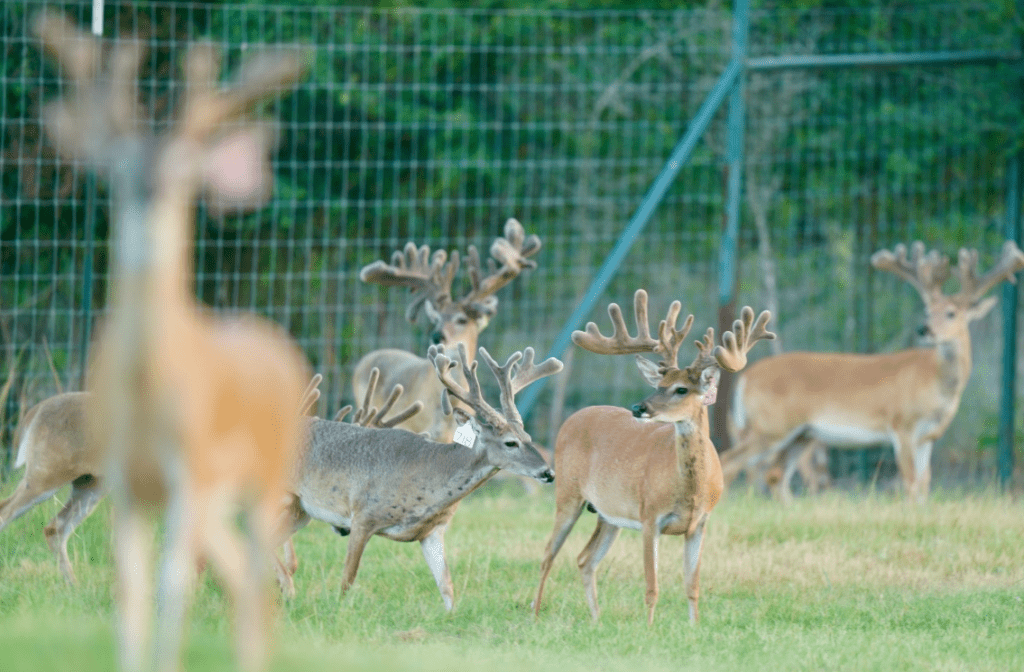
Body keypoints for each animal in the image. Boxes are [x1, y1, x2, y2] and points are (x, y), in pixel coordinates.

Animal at [35, 14, 310, 672]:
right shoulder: (126, 483)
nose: (152, 185)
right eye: (116, 163)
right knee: (241, 579)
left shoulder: (193, 473)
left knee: (255, 577)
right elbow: (131, 592)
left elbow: (170, 587)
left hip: (264, 473)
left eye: (188, 162)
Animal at [278, 342, 560, 609]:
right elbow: (347, 578)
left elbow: (447, 587)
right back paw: (288, 590)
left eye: (528, 437)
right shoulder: (363, 515)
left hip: (300, 511)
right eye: (511, 443)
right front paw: (338, 610)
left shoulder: (432, 532)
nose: (549, 473)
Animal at [532, 290, 774, 625]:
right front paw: (648, 628)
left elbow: (692, 585)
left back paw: (596, 619)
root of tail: (572, 418)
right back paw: (535, 614)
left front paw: (694, 627)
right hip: (567, 494)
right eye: (659, 385)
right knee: (547, 555)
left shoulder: (700, 523)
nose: (638, 407)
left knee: (585, 559)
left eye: (681, 389)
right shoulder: (650, 516)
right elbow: (652, 586)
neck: (690, 490)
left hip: (608, 513)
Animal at [720, 240, 1024, 504]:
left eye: (952, 313)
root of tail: (745, 377)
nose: (924, 329)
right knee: (731, 462)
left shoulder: (929, 435)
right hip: (772, 425)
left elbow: (925, 482)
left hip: (802, 435)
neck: (936, 384)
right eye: (927, 310)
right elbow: (910, 481)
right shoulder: (901, 424)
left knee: (775, 475)